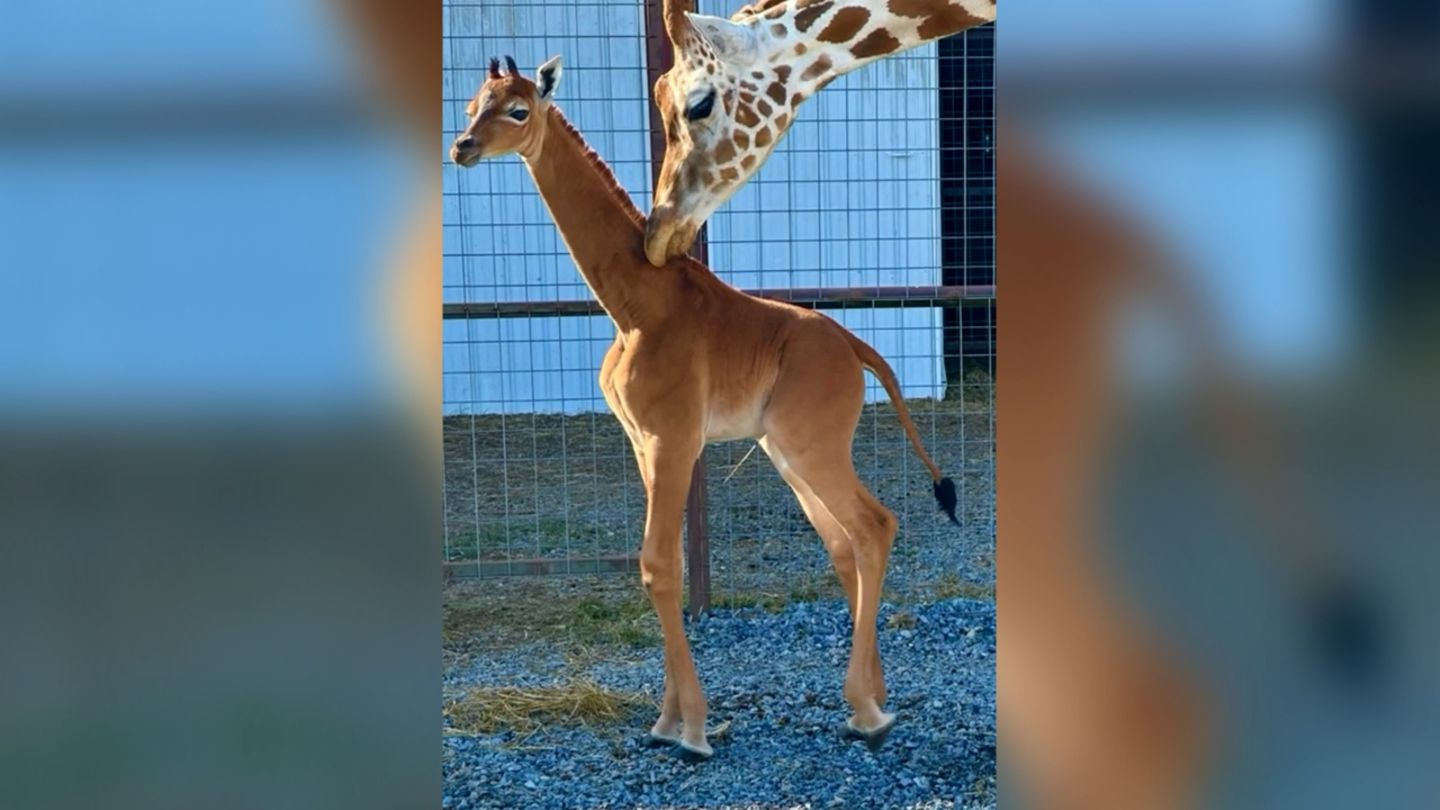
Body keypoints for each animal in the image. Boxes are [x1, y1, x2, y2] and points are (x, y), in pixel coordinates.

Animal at [450, 55, 959, 760]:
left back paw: (866, 711)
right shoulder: (643, 442)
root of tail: (857, 348)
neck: (635, 305)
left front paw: (690, 728)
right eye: (473, 104)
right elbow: (661, 566)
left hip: (812, 445)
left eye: (518, 110)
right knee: (844, 541)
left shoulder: (674, 438)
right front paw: (667, 720)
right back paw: (875, 699)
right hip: (786, 451)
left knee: (874, 525)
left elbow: (659, 565)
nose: (462, 147)